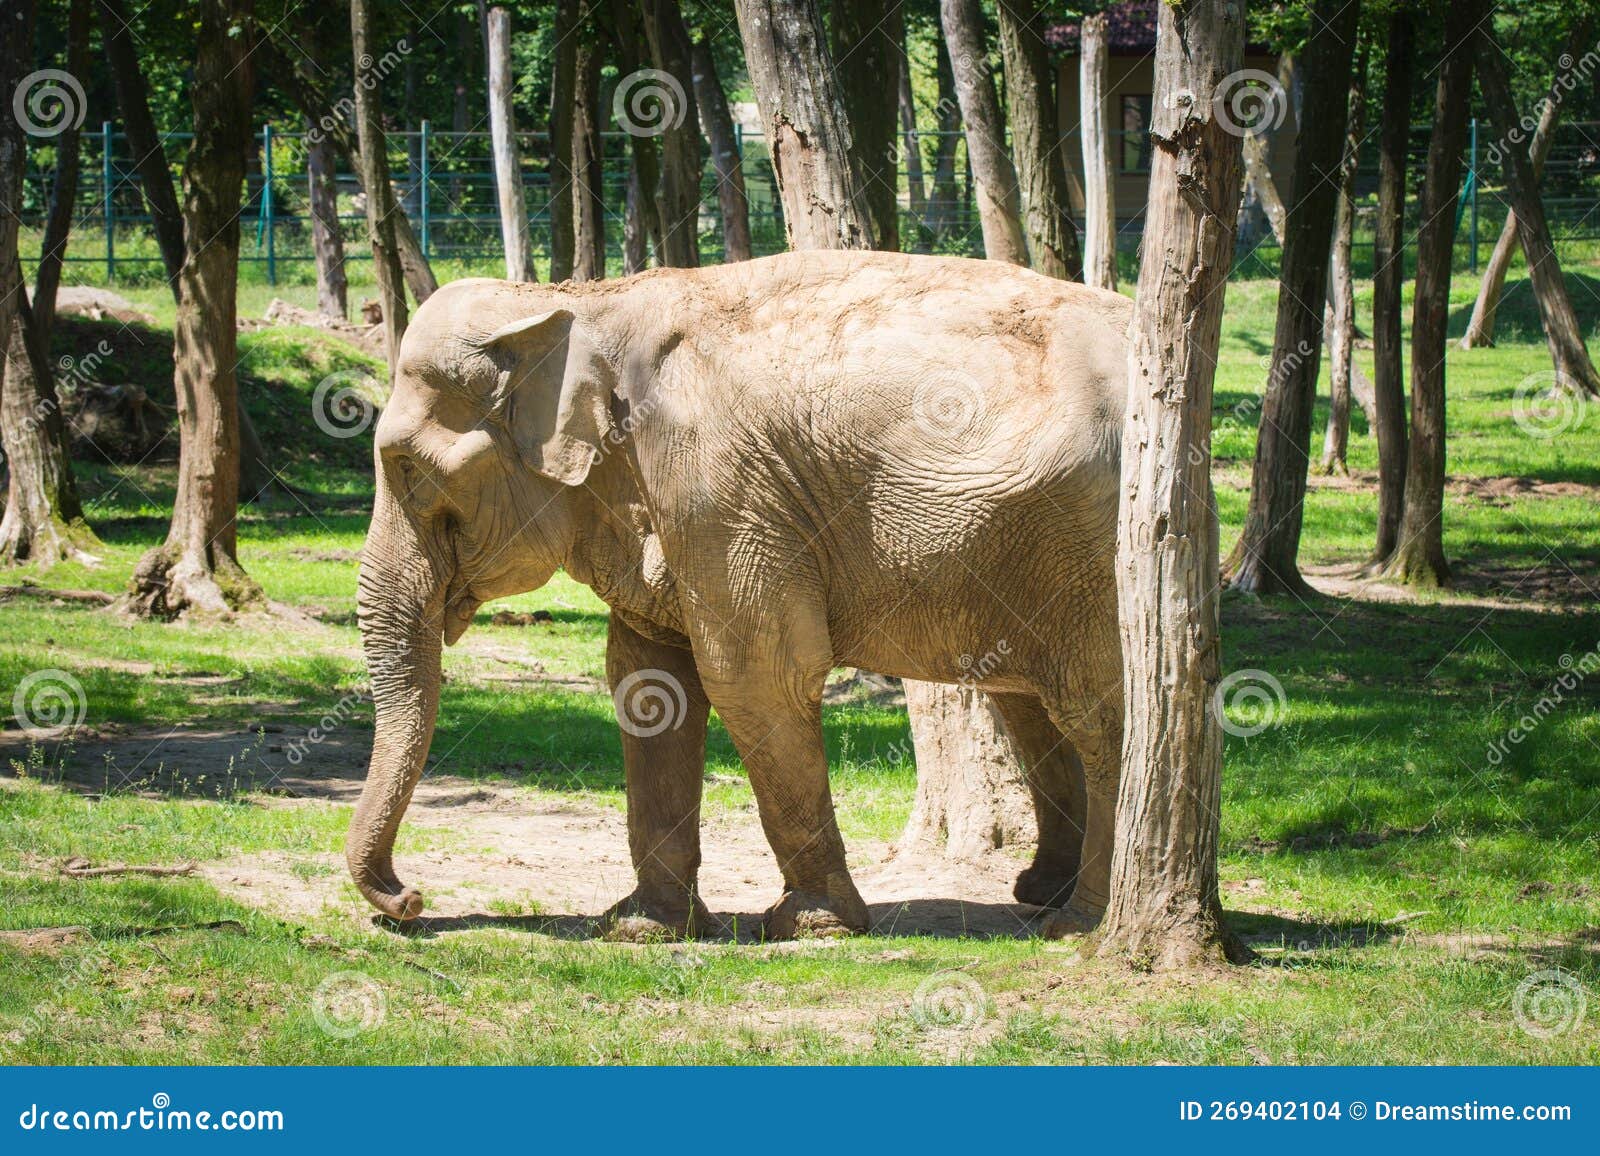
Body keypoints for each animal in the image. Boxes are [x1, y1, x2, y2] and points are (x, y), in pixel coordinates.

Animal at [347, 249, 1130, 941]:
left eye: (409, 469)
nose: (409, 901)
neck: (578, 301)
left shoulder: (717, 490)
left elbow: (755, 675)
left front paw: (808, 926)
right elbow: (647, 681)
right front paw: (642, 928)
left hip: (1093, 551)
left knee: (1097, 713)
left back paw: (1076, 921)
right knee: (1030, 702)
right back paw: (1038, 893)